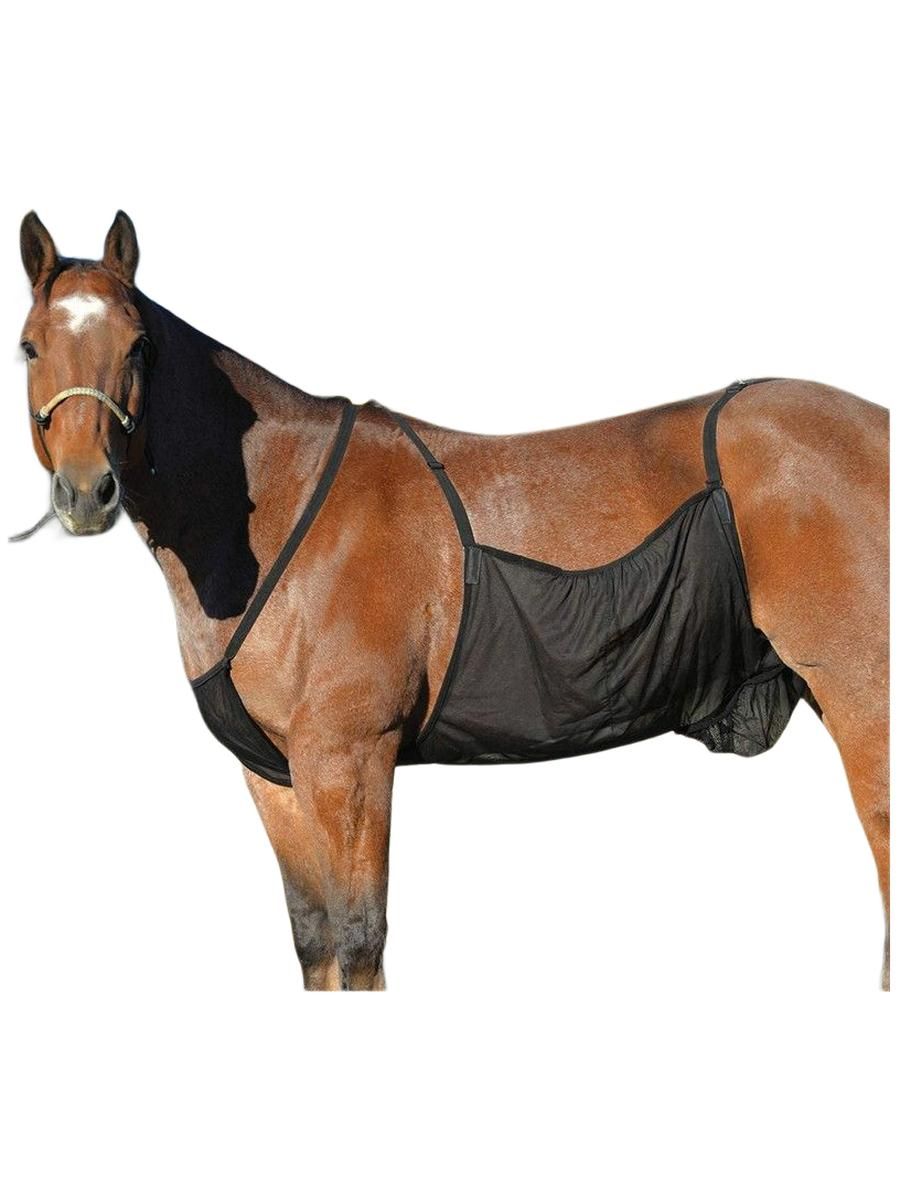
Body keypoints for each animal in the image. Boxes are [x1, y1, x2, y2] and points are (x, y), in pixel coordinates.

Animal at [15, 211, 889, 991]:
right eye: (28, 345)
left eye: (140, 345)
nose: (87, 492)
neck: (276, 509)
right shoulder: (275, 775)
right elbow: (315, 943)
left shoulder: (351, 758)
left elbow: (360, 942)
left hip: (864, 700)